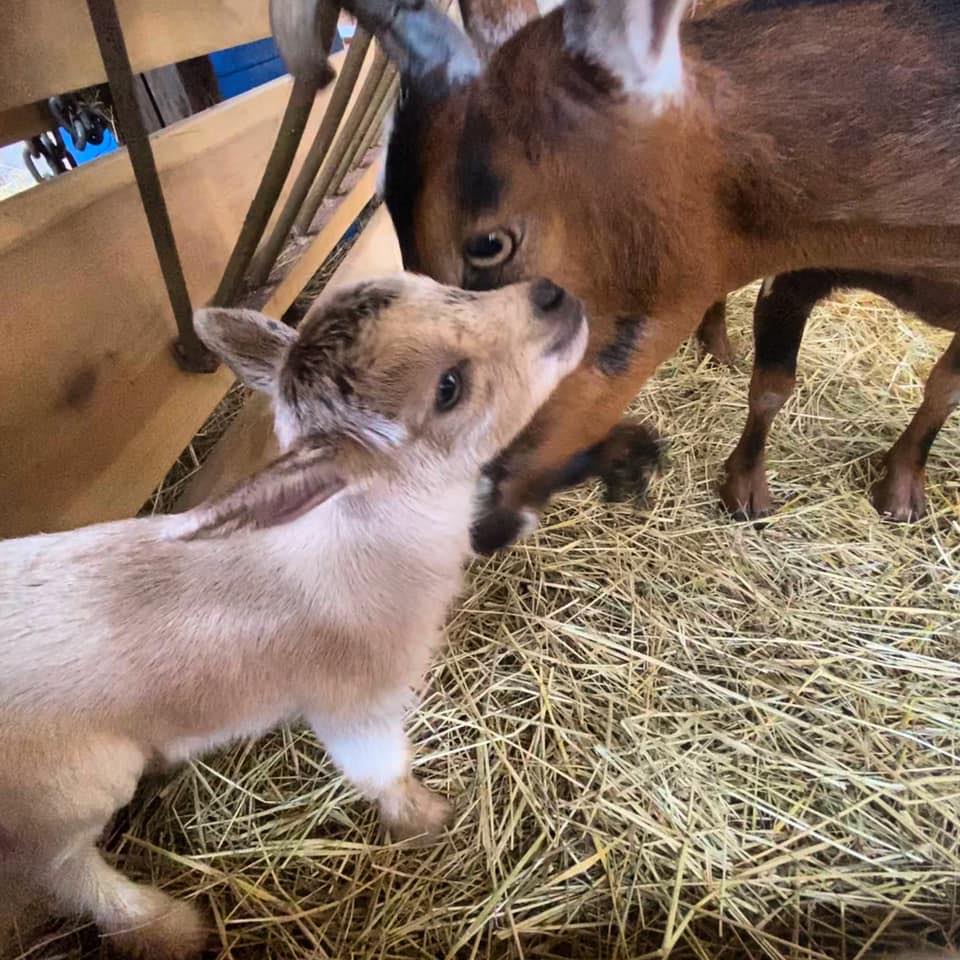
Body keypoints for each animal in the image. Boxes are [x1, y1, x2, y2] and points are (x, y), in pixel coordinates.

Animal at [0, 273, 586, 958]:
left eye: (437, 286)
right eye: (448, 388)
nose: (555, 297)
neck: (369, 537)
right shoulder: (354, 703)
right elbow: (382, 770)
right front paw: (425, 820)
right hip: (69, 787)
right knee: (58, 869)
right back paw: (164, 926)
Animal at [317, 0, 960, 551]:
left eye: (488, 244)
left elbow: (942, 389)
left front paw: (901, 487)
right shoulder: (792, 266)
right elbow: (774, 384)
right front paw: (746, 487)